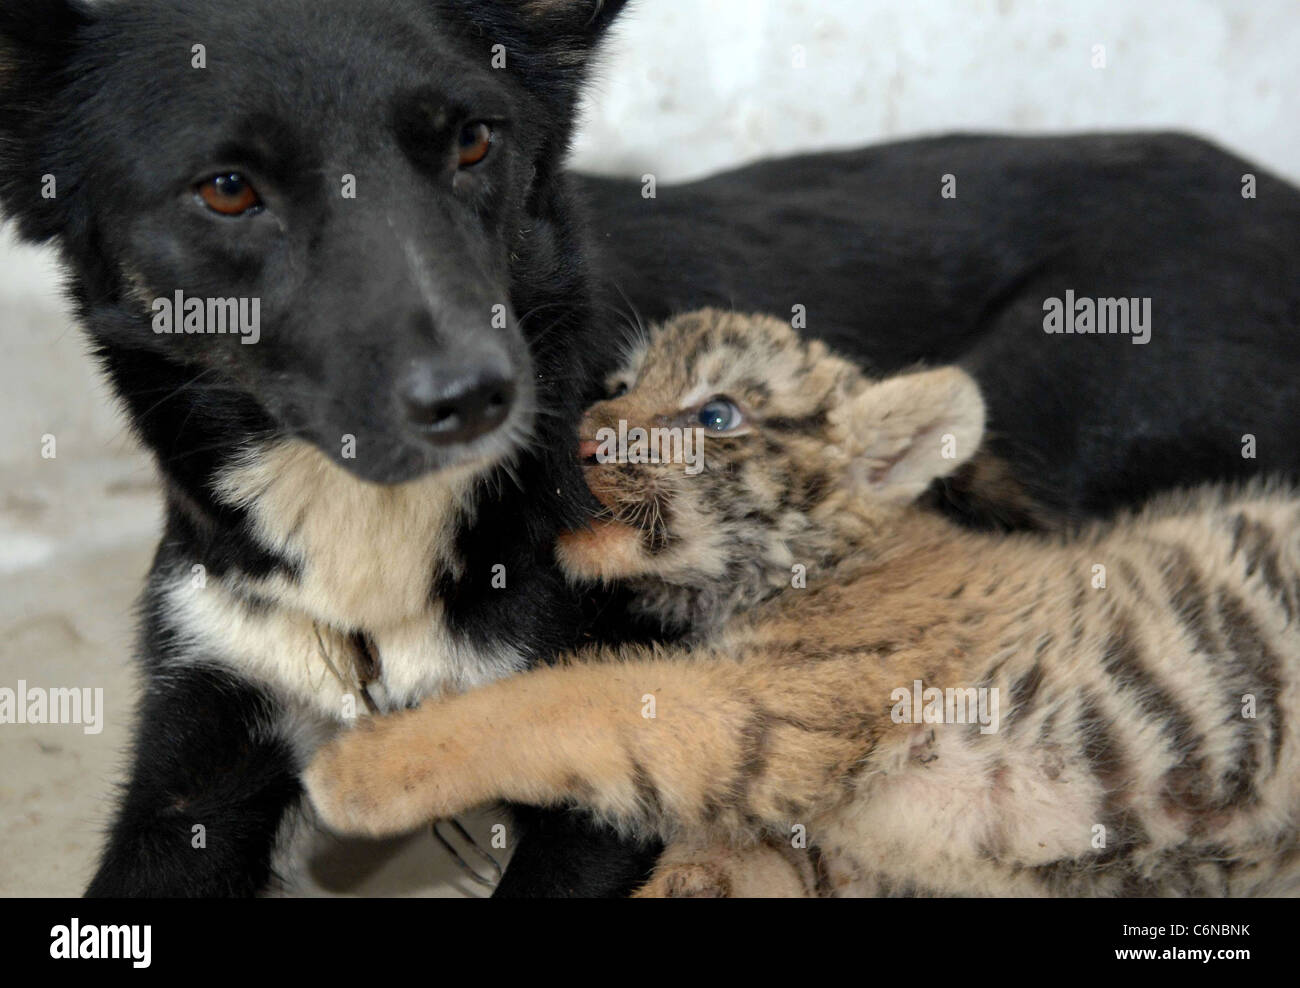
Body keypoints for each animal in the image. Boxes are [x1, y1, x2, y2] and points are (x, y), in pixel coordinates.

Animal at [304, 308, 1300, 897]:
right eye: (619, 387)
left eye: (716, 416)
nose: (579, 444)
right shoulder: (799, 844)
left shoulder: (770, 706)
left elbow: (568, 703)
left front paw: (356, 772)